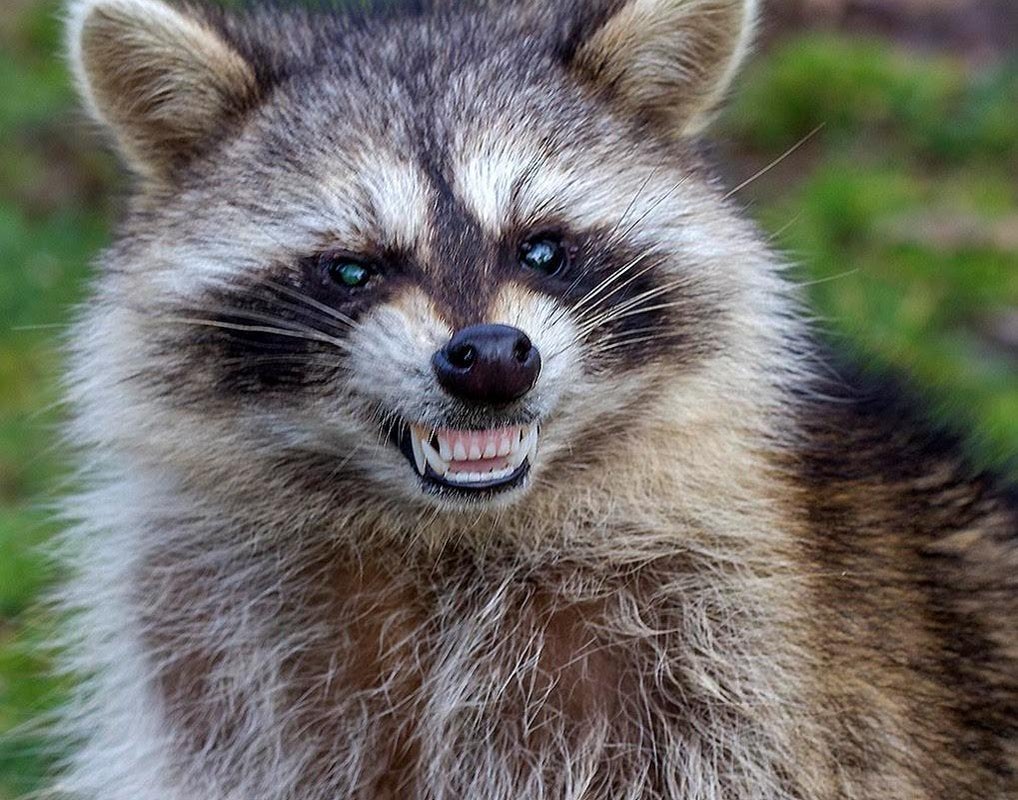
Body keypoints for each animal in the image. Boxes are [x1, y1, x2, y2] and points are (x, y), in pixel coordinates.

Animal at [57, 0, 1017, 798]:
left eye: (543, 249)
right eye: (352, 269)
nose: (489, 359)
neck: (447, 536)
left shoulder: (718, 673)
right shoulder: (229, 683)